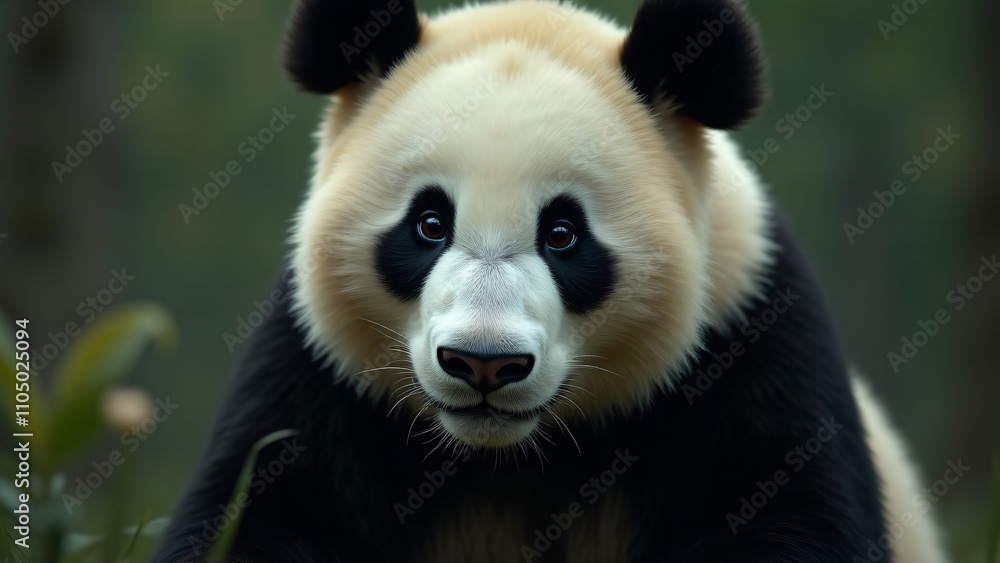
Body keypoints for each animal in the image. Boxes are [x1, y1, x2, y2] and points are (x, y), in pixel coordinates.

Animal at [155, 0, 949, 561]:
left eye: (563, 235)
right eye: (429, 223)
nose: (483, 362)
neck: (513, 458)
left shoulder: (747, 337)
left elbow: (783, 509)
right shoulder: (320, 369)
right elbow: (264, 510)